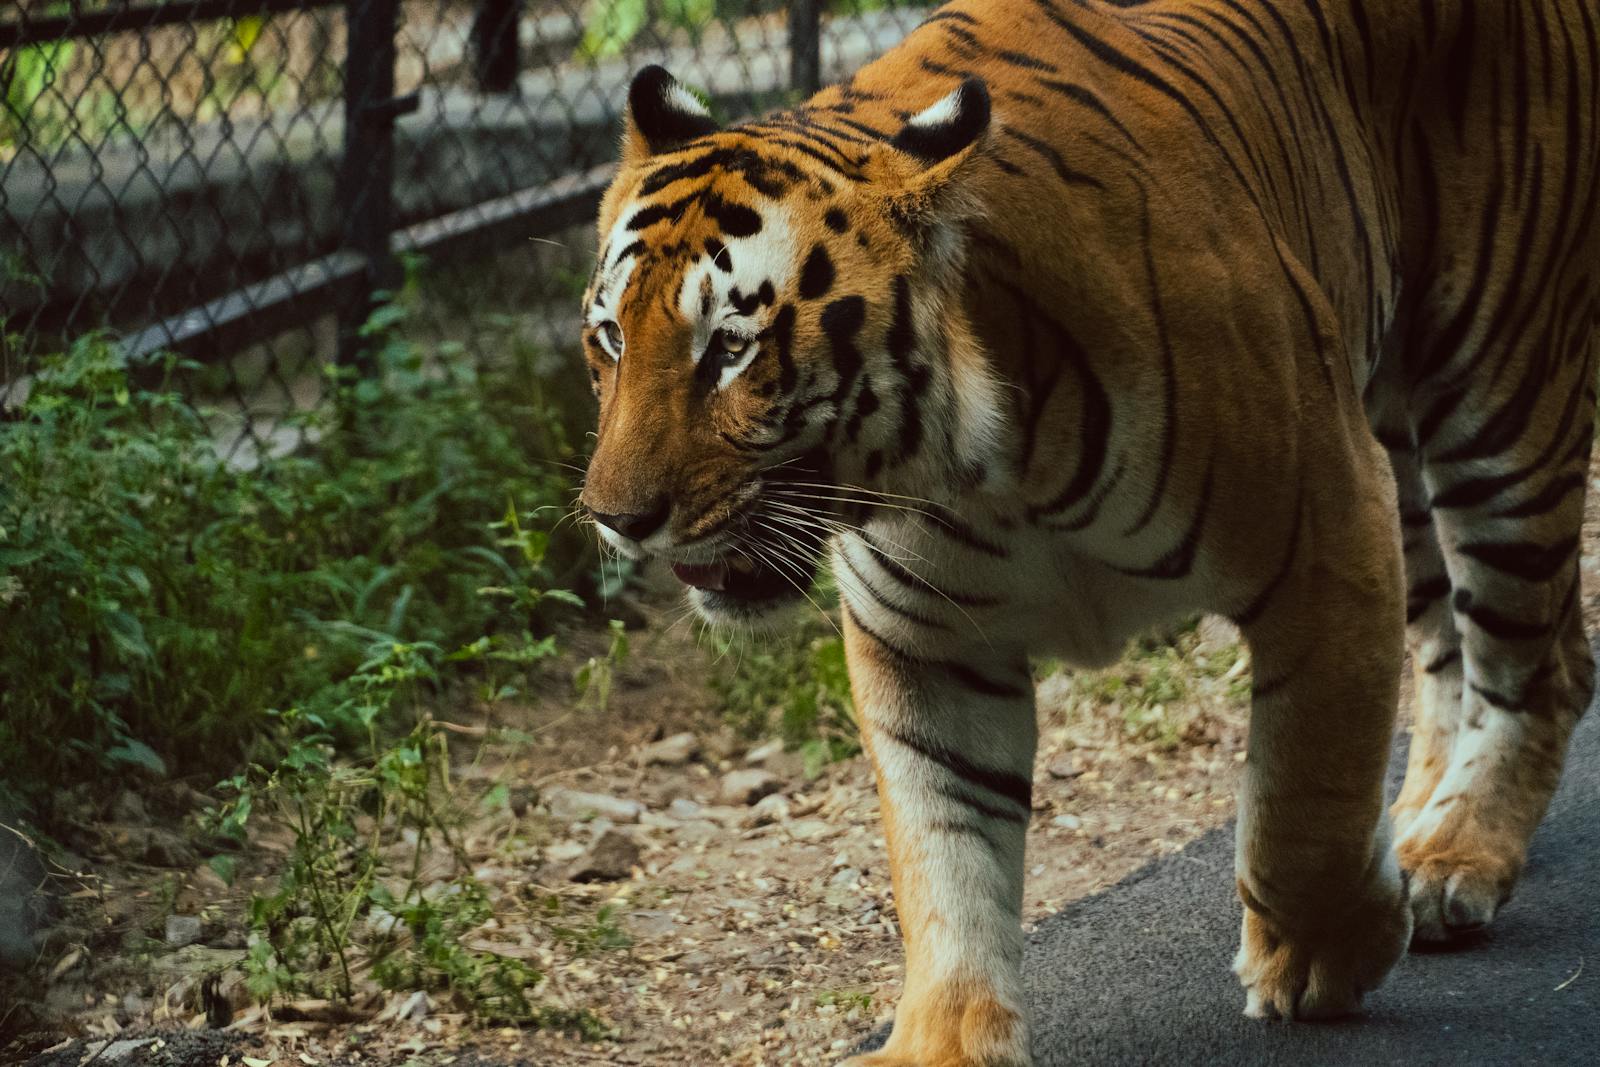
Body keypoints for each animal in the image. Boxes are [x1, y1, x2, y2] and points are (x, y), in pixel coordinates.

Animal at [576, 0, 1600, 1062]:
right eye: (609, 337)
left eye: (731, 349)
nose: (616, 516)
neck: (977, 471)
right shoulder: (926, 642)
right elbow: (947, 849)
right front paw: (945, 1037)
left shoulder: (1327, 531)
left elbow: (1305, 781)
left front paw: (1320, 953)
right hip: (1400, 453)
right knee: (1447, 644)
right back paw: (1415, 825)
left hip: (1498, 393)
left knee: (1542, 658)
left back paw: (1452, 854)